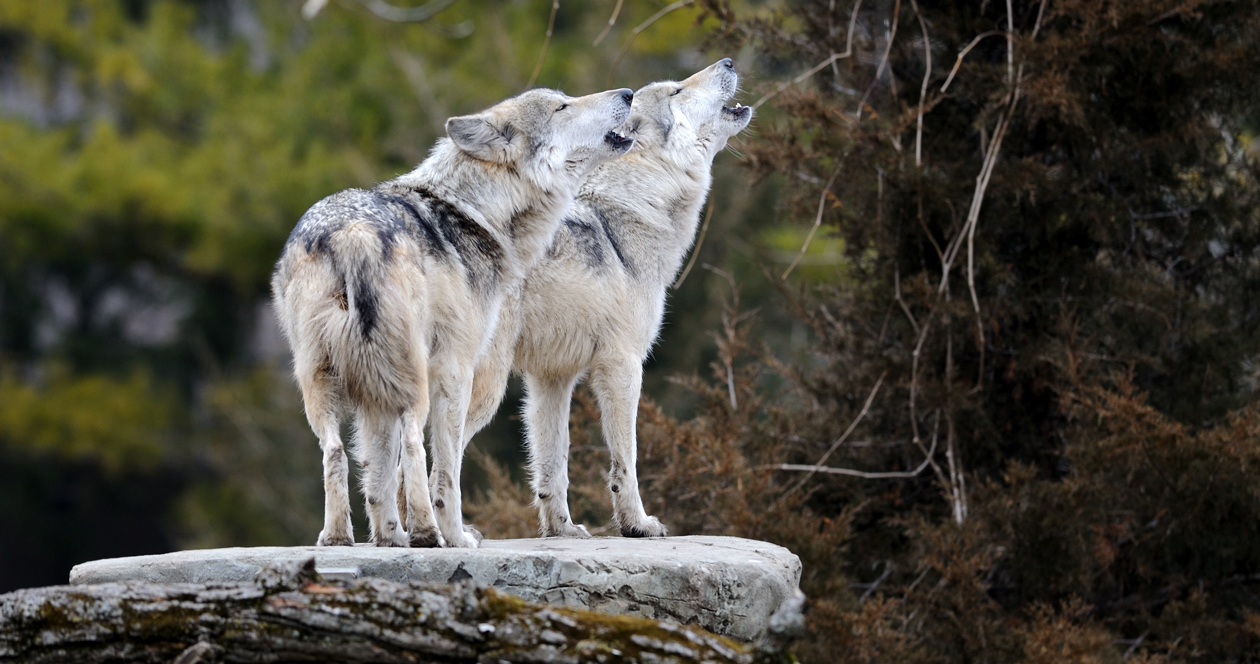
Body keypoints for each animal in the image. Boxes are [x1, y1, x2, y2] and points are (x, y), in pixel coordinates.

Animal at [272, 86, 634, 549]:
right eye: (562, 106)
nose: (627, 93)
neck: (475, 211)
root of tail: (354, 233)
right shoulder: (456, 368)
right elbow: (446, 472)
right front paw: (454, 535)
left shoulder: (376, 396)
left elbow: (378, 477)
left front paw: (389, 537)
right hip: (414, 379)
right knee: (414, 445)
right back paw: (430, 534)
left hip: (324, 381)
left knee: (336, 453)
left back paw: (339, 538)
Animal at [462, 59, 752, 538]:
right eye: (676, 91)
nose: (728, 61)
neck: (634, 209)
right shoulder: (623, 364)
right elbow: (625, 460)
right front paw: (638, 524)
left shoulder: (551, 380)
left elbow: (552, 465)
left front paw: (561, 530)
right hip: (486, 386)